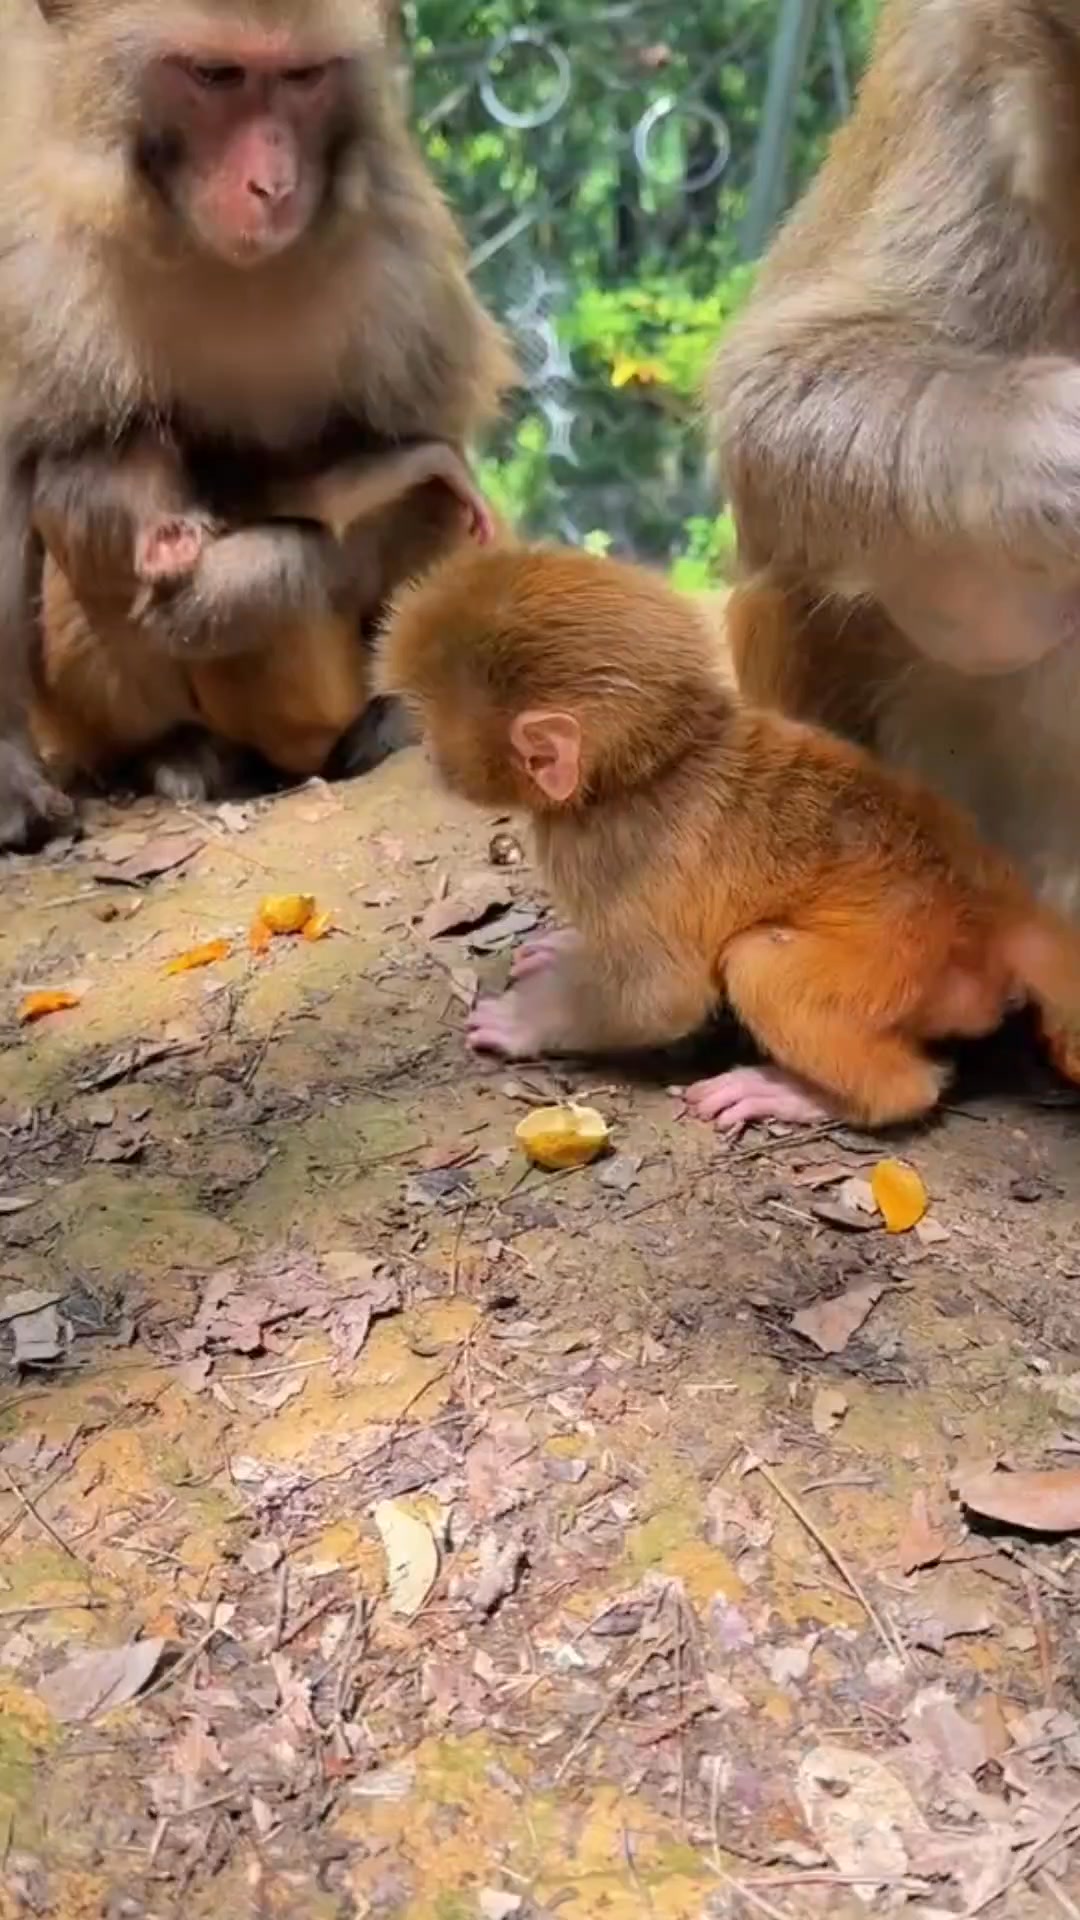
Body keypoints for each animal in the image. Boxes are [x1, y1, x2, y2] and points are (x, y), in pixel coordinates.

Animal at [377, 542, 1080, 1131]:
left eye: (434, 726)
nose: (431, 757)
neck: (657, 762)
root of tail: (989, 911)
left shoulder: (599, 848)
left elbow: (661, 995)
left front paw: (531, 1019)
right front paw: (567, 954)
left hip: (906, 968)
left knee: (760, 967)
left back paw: (820, 1094)